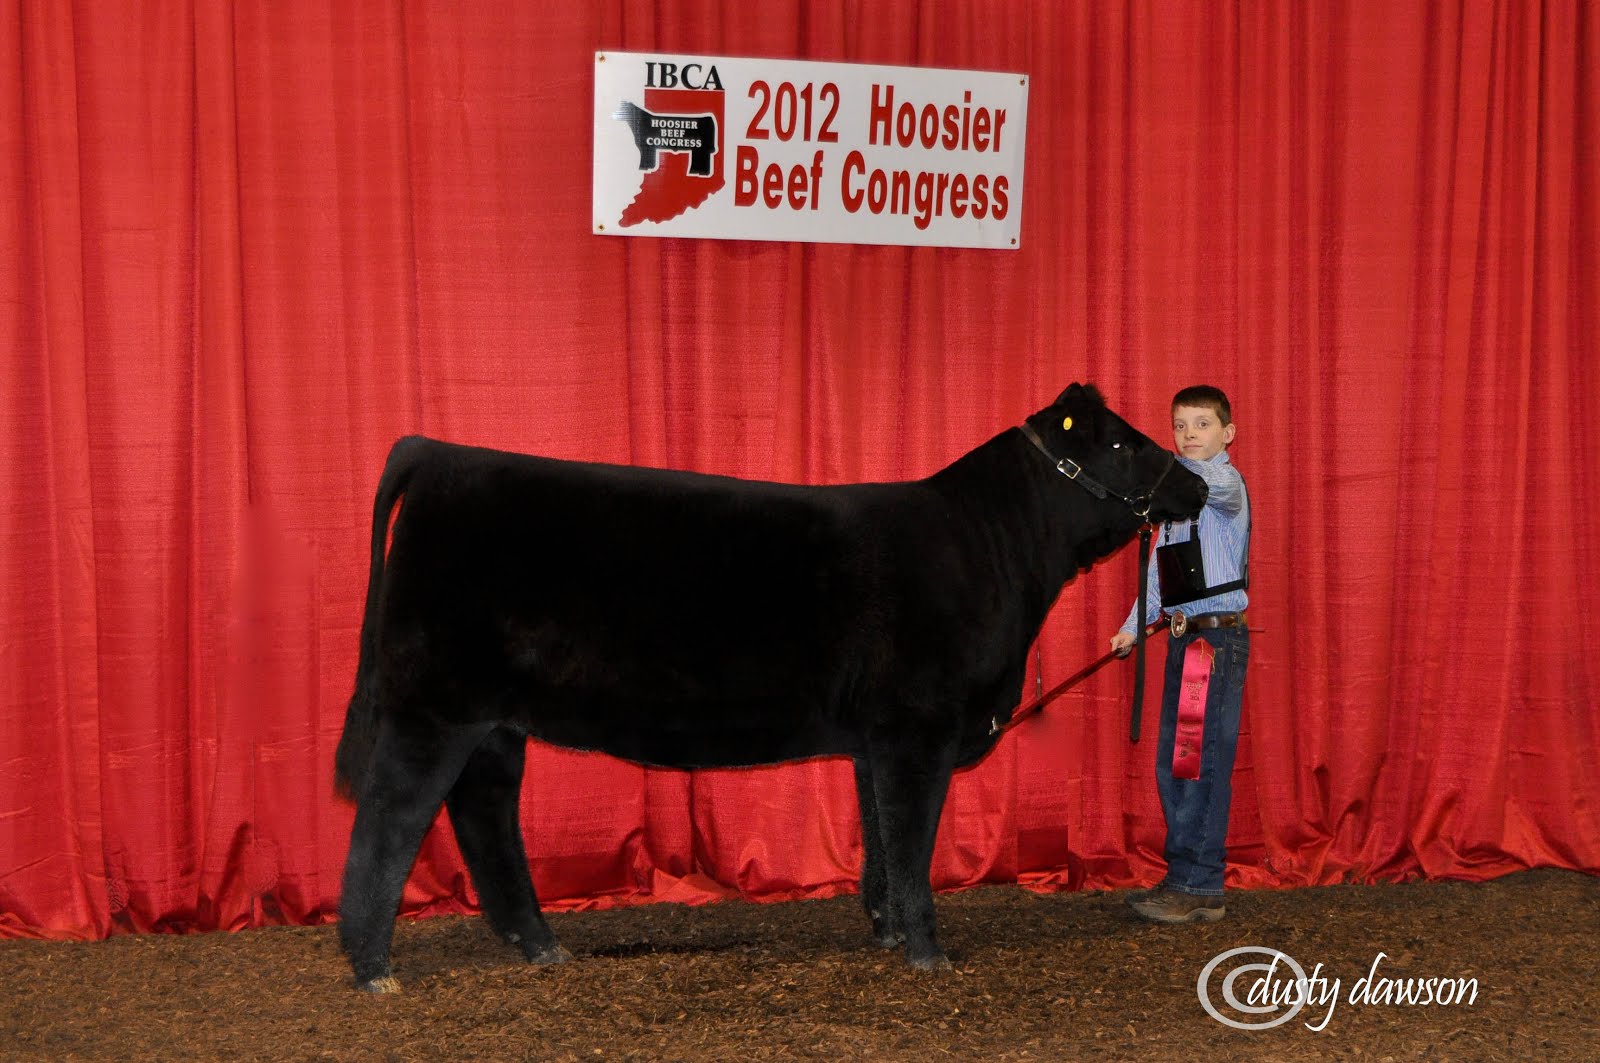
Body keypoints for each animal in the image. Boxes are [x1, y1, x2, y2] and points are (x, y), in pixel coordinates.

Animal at [333, 384, 1206, 992]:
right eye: (1122, 441)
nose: (1196, 487)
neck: (987, 547)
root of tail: (440, 452)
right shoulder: (919, 726)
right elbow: (913, 840)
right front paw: (928, 948)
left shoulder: (878, 739)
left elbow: (882, 837)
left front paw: (888, 929)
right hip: (433, 705)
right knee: (391, 816)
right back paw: (372, 963)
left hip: (494, 721)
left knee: (483, 811)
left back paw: (538, 943)